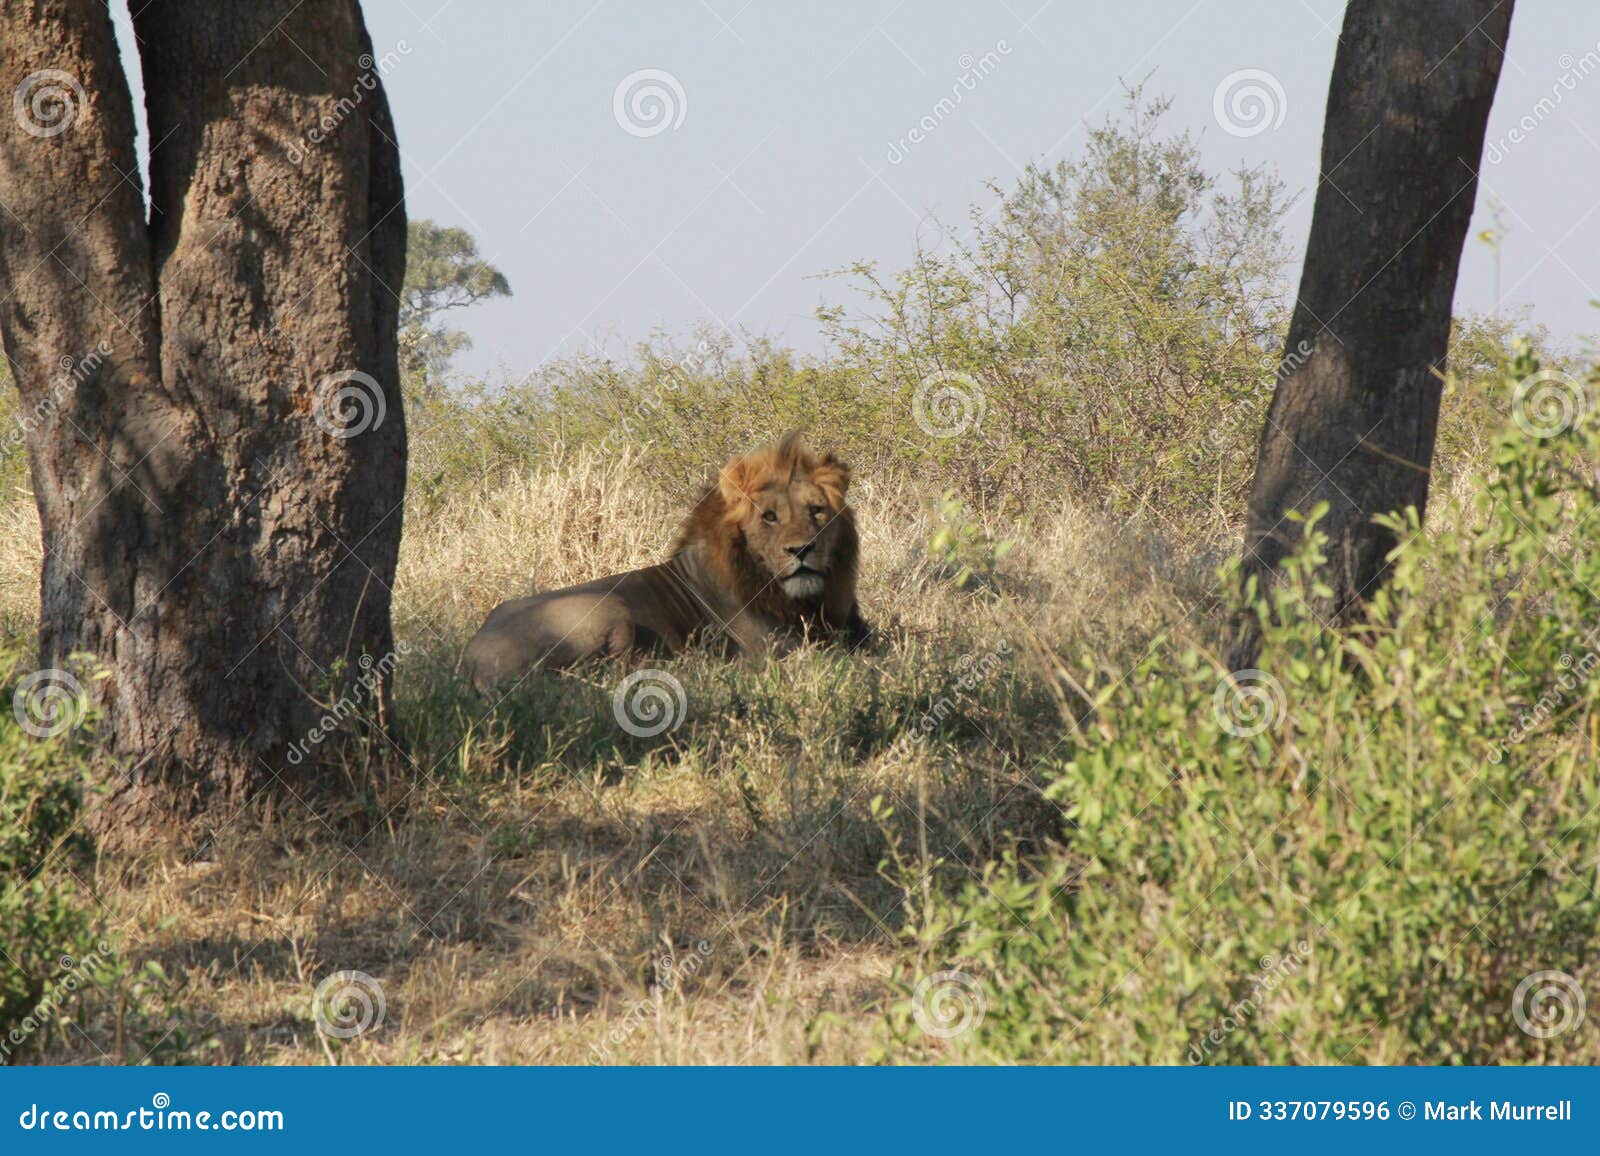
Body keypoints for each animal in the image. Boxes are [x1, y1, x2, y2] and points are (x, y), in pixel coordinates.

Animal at [462, 432, 869, 688]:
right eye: (770, 517)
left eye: (816, 511)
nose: (802, 550)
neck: (806, 600)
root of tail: (471, 656)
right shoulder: (779, 653)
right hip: (606, 606)